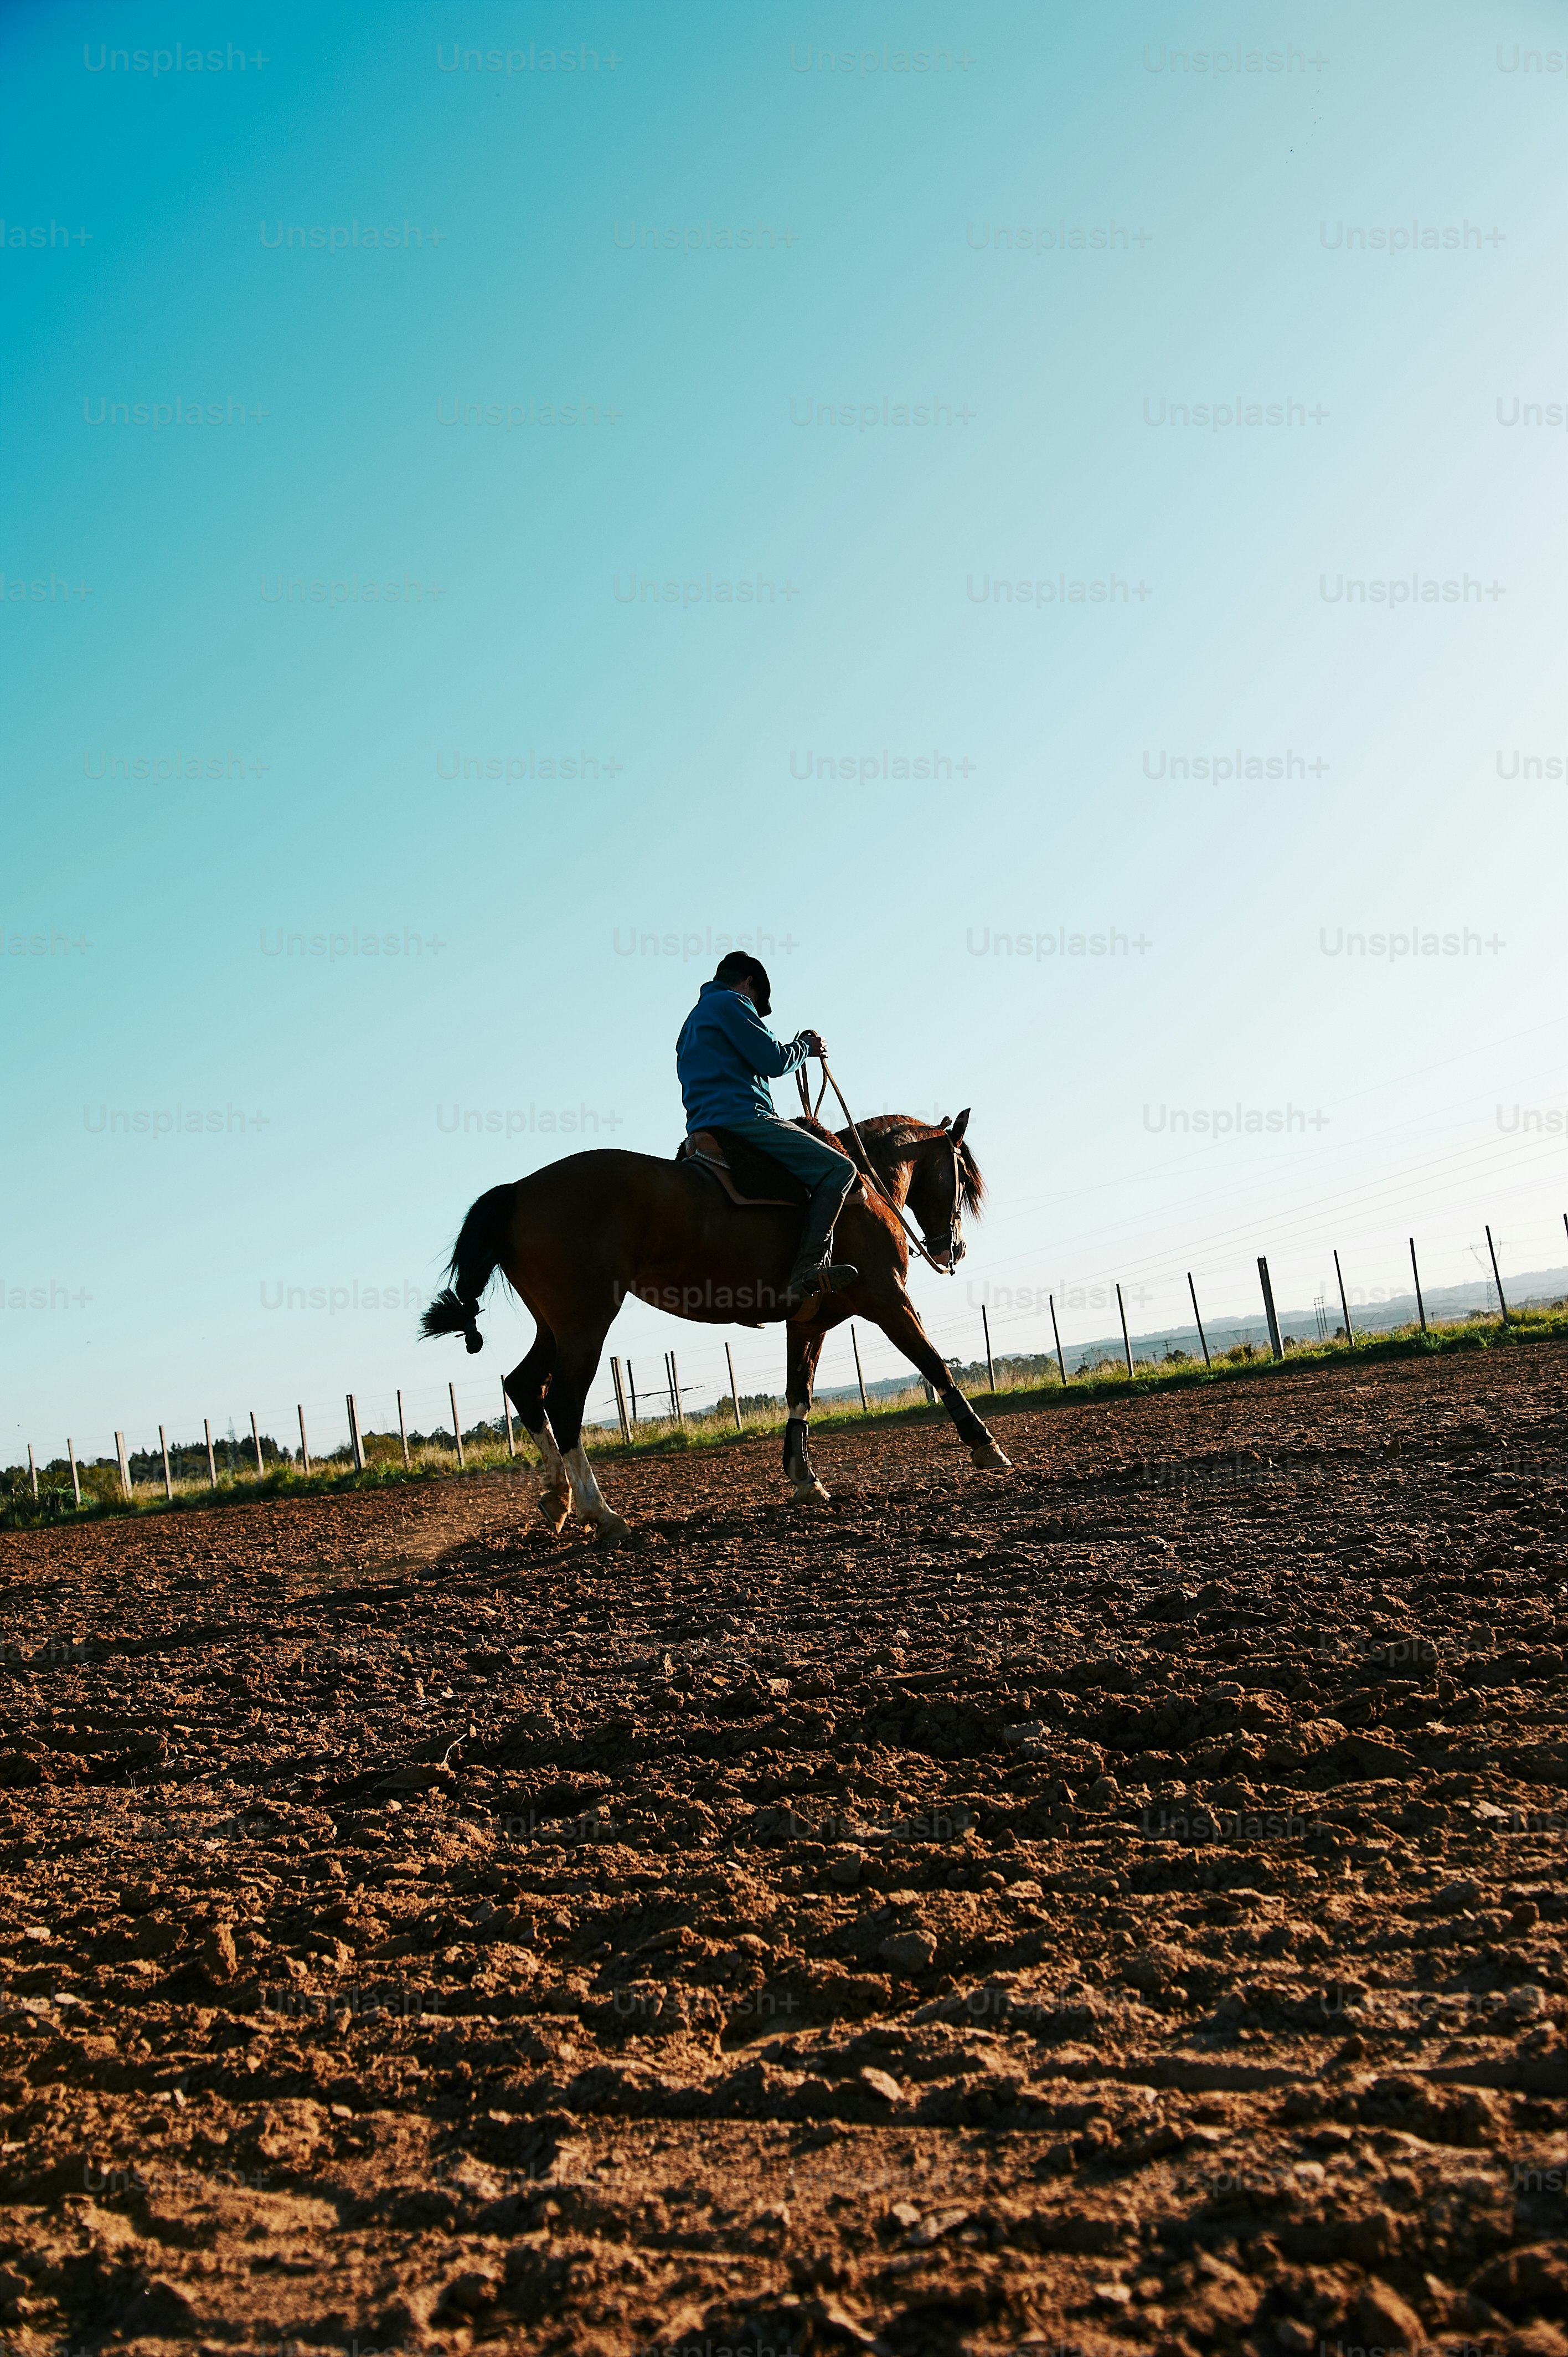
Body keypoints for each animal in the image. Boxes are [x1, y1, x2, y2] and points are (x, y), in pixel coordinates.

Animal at [419, 1107, 1011, 1543]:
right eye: (961, 1175)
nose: (954, 1248)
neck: (860, 1184)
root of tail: (518, 1189)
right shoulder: (889, 1299)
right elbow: (935, 1365)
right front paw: (986, 1447)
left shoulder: (811, 1322)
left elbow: (800, 1393)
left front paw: (804, 1479)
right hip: (585, 1323)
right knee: (563, 1403)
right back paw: (600, 1512)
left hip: (555, 1325)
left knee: (524, 1386)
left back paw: (558, 1498)